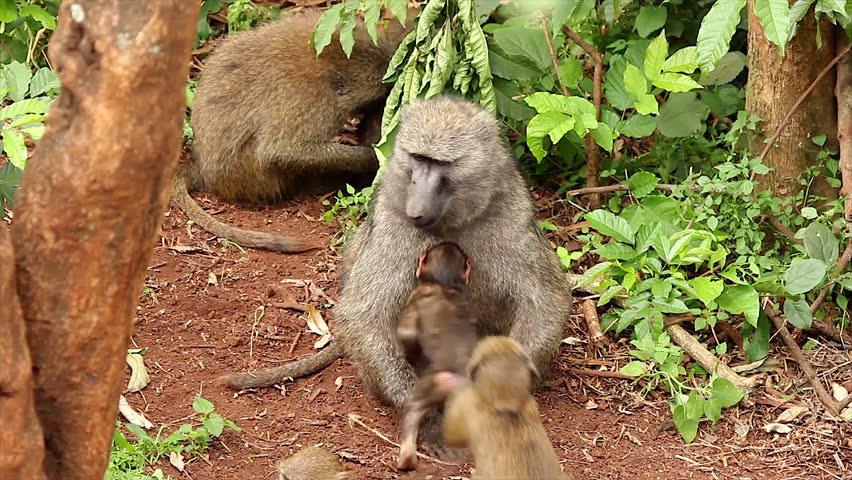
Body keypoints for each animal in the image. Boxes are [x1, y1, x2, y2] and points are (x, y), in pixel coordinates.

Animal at [171, 7, 416, 253]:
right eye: (380, 93)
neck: (323, 66)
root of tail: (201, 162)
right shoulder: (313, 104)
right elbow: (283, 151)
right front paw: (373, 157)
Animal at [395, 241, 478, 471]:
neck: (444, 284)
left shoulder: (415, 297)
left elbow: (406, 333)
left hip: (432, 384)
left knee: (413, 408)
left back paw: (406, 457)